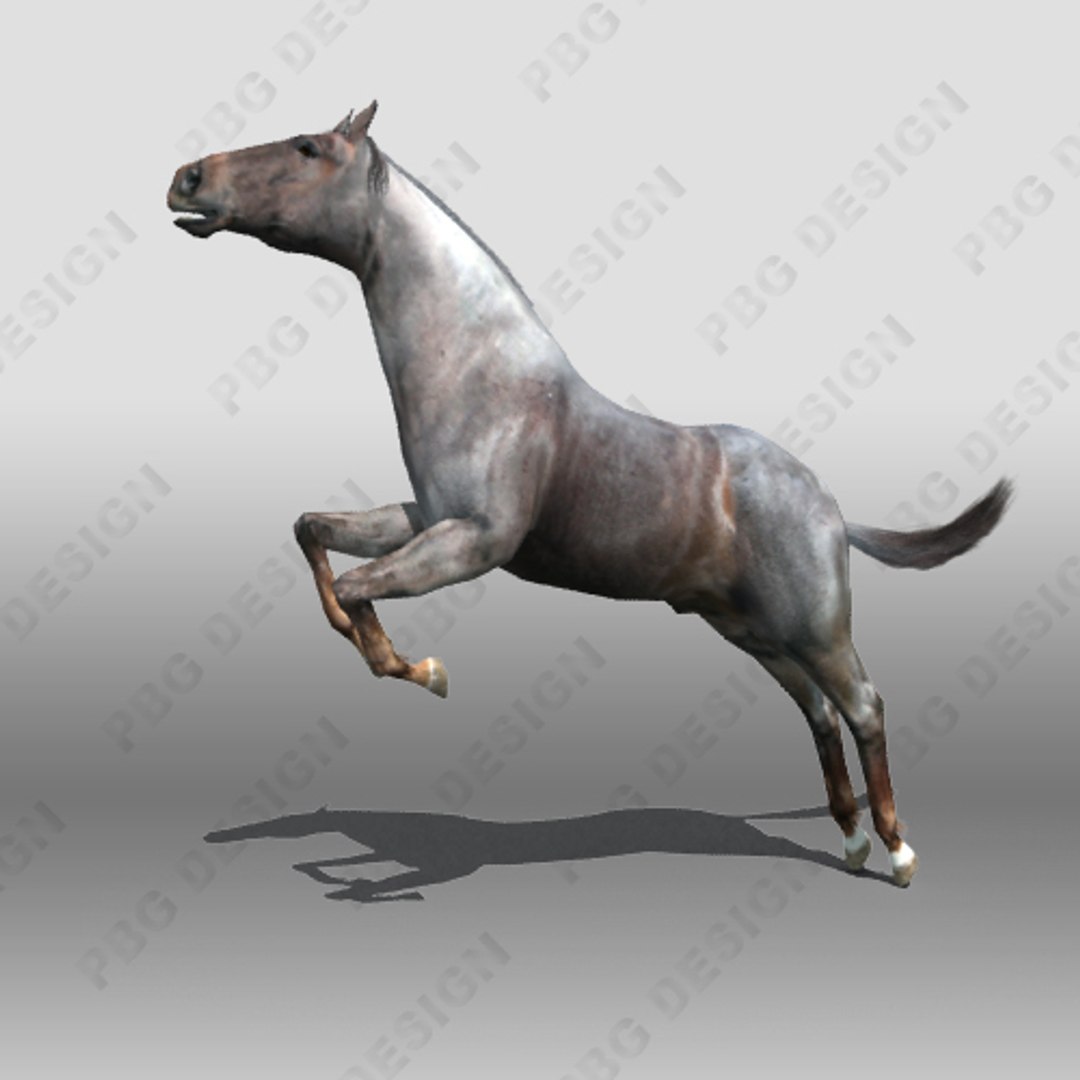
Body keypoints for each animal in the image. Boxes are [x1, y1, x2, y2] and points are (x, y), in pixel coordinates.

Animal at [168, 101, 1013, 886]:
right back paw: (851, 842)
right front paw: (396, 658)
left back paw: (898, 852)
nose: (188, 179)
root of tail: (829, 505)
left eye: (307, 147)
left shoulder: (474, 540)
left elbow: (356, 588)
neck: (481, 371)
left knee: (862, 706)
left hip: (814, 626)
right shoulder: (424, 518)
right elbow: (315, 534)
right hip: (752, 631)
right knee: (816, 712)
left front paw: (426, 674)